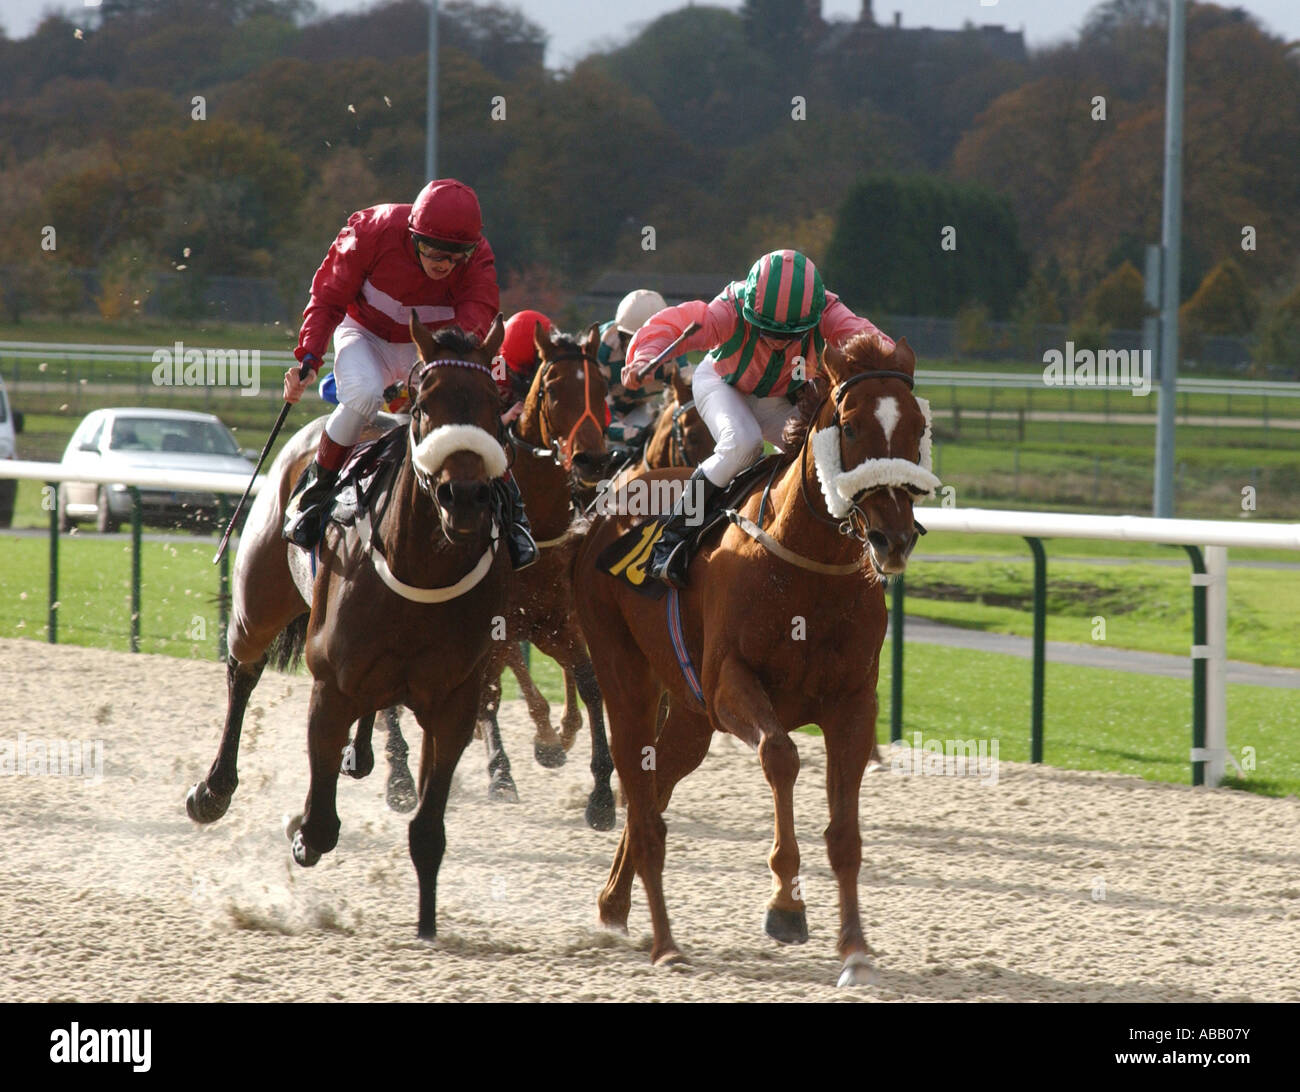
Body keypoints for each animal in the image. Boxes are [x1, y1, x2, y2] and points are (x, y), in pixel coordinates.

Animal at [187, 313, 513, 939]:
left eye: (495, 404)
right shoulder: (331, 685)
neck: (419, 567)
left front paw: (427, 926)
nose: (464, 496)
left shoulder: (454, 702)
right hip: (258, 601)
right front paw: (299, 828)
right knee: (244, 671)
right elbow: (319, 824)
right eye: (426, 407)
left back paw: (358, 757)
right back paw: (213, 790)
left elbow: (428, 831)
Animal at [572, 332, 937, 985]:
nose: (893, 539)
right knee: (640, 796)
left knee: (657, 786)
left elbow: (846, 832)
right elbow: (781, 756)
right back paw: (665, 943)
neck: (805, 568)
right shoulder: (729, 688)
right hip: (626, 671)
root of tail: (607, 506)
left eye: (917, 426)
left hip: (688, 714)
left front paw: (855, 949)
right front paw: (786, 906)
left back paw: (614, 905)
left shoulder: (853, 704)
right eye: (849, 425)